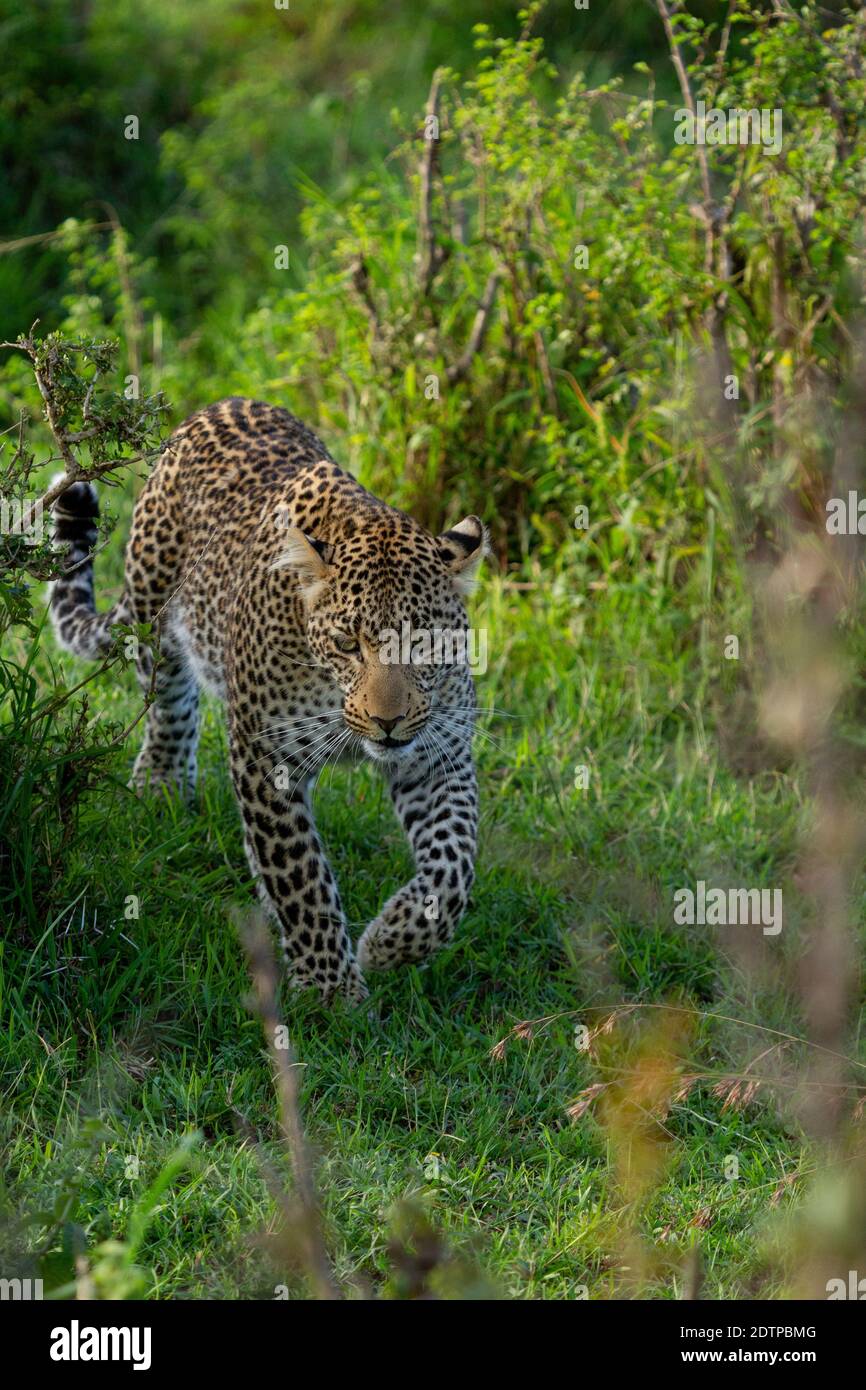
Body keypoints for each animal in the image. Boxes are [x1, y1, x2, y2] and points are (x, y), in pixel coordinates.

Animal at [49, 397, 487, 1006]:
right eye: (347, 643)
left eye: (423, 643)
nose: (387, 723)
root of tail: (221, 405)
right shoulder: (265, 761)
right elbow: (300, 877)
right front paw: (332, 993)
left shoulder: (437, 755)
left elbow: (454, 863)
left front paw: (392, 941)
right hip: (155, 613)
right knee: (168, 705)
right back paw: (161, 786)